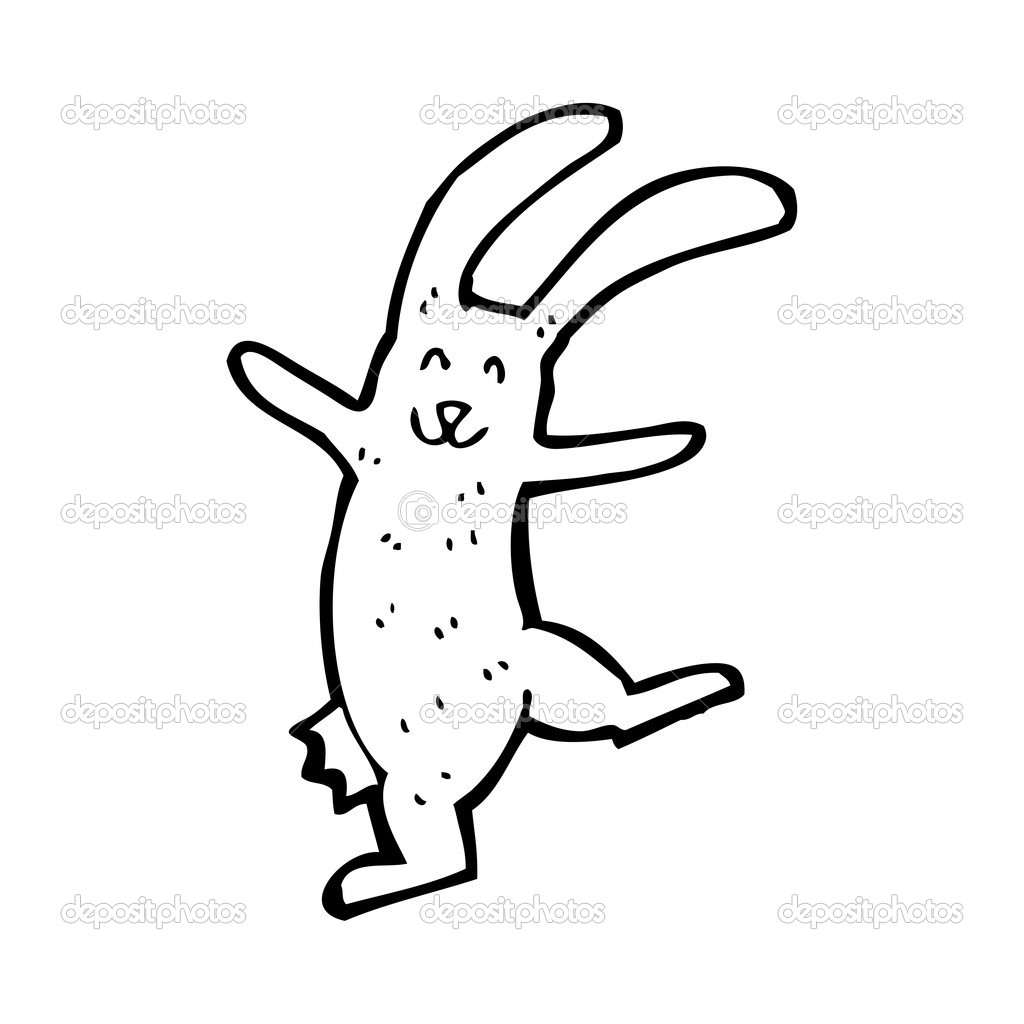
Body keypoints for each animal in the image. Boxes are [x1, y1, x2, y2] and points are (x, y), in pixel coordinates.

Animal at [227, 102, 797, 919]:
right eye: (433, 360)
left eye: (497, 371)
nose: (452, 413)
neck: (439, 463)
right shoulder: (363, 439)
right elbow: (311, 402)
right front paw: (254, 364)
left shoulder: (527, 465)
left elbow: (590, 459)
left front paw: (675, 439)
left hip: (511, 697)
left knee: (463, 843)